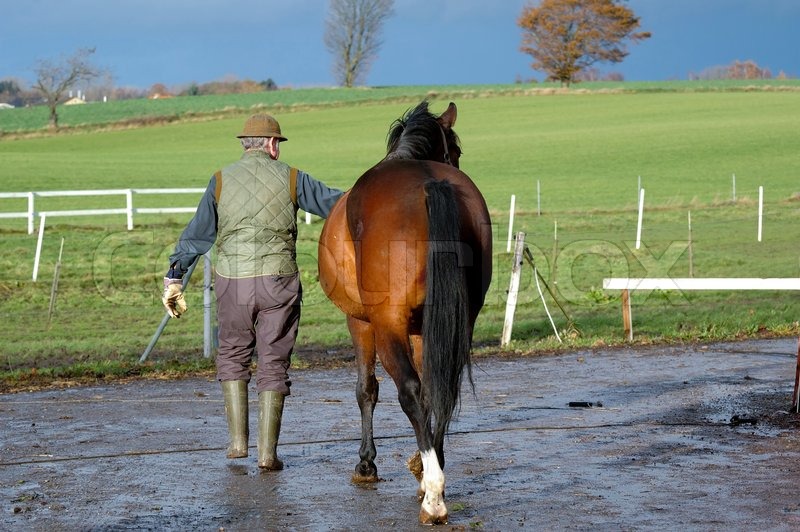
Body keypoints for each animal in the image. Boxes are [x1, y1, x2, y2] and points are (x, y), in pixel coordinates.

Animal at [318, 101, 492, 525]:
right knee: (442, 386)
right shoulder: (423, 328)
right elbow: (433, 390)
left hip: (387, 326)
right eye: (456, 150)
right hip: (454, 322)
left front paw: (366, 464)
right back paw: (430, 474)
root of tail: (430, 183)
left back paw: (433, 496)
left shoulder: (361, 322)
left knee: (410, 391)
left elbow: (367, 389)